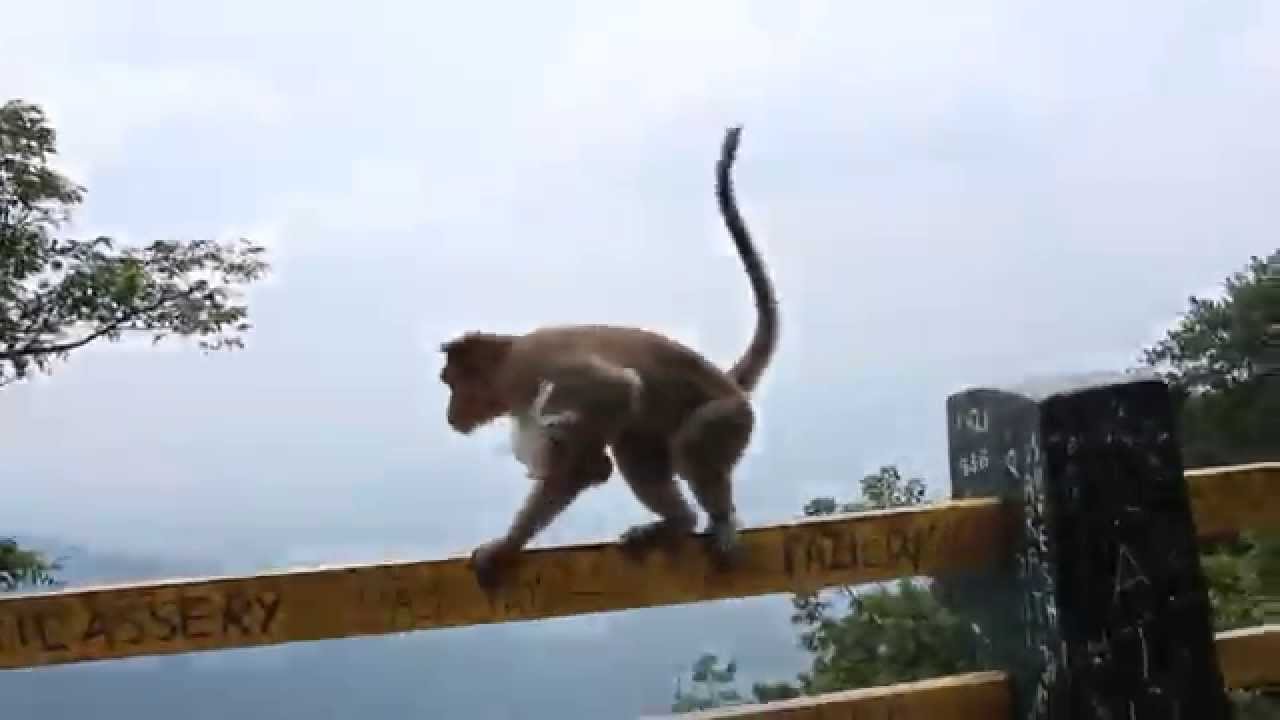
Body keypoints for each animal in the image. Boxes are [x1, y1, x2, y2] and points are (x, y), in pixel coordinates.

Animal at [439, 126, 778, 590]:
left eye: (451, 382)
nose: (451, 412)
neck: (507, 358)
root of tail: (729, 383)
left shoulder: (529, 370)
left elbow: (616, 388)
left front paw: (509, 544)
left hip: (731, 419)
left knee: (689, 444)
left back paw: (719, 519)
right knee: (636, 447)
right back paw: (677, 522)